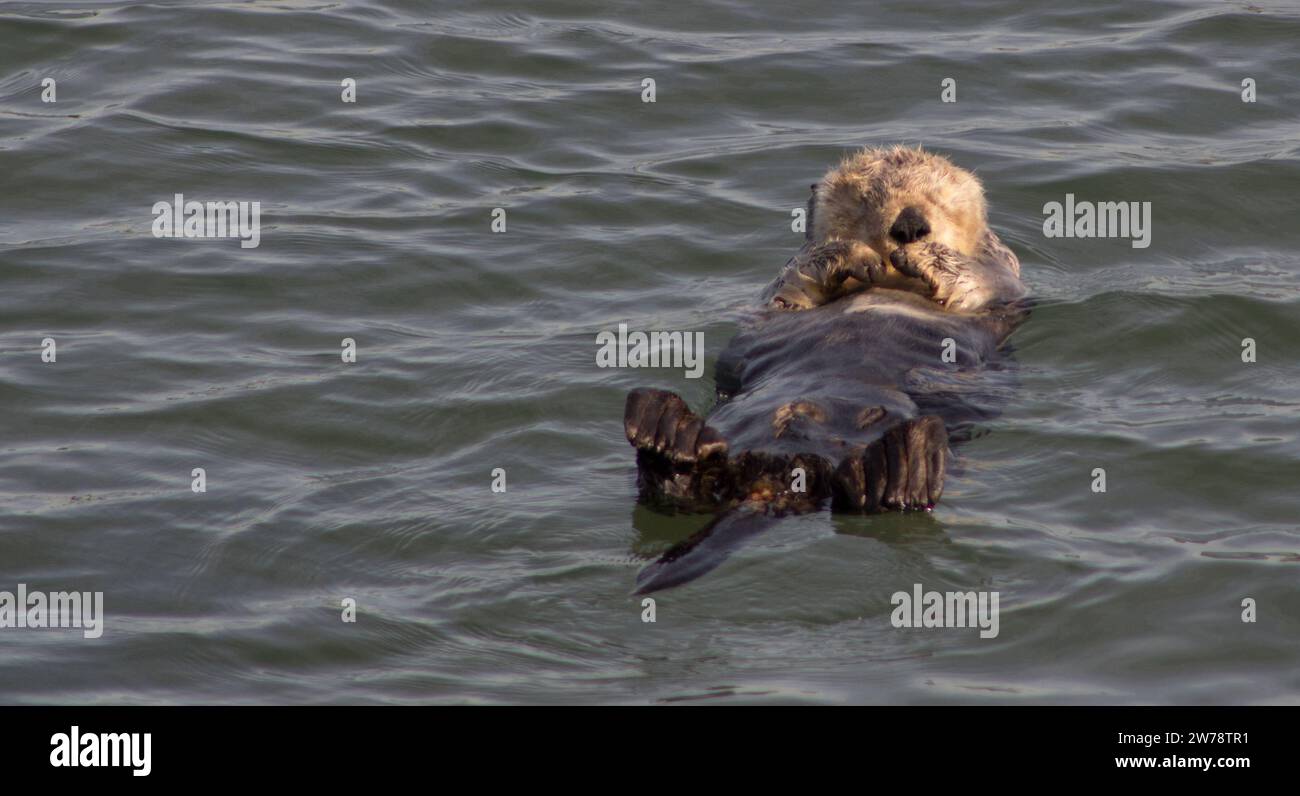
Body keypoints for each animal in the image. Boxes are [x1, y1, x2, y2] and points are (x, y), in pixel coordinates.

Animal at [624, 146, 1028, 594]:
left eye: (940, 201)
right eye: (868, 199)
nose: (910, 225)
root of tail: (781, 477)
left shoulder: (1005, 283)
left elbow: (985, 279)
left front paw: (927, 257)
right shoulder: (778, 293)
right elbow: (792, 283)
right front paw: (853, 254)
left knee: (878, 502)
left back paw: (909, 459)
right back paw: (664, 431)